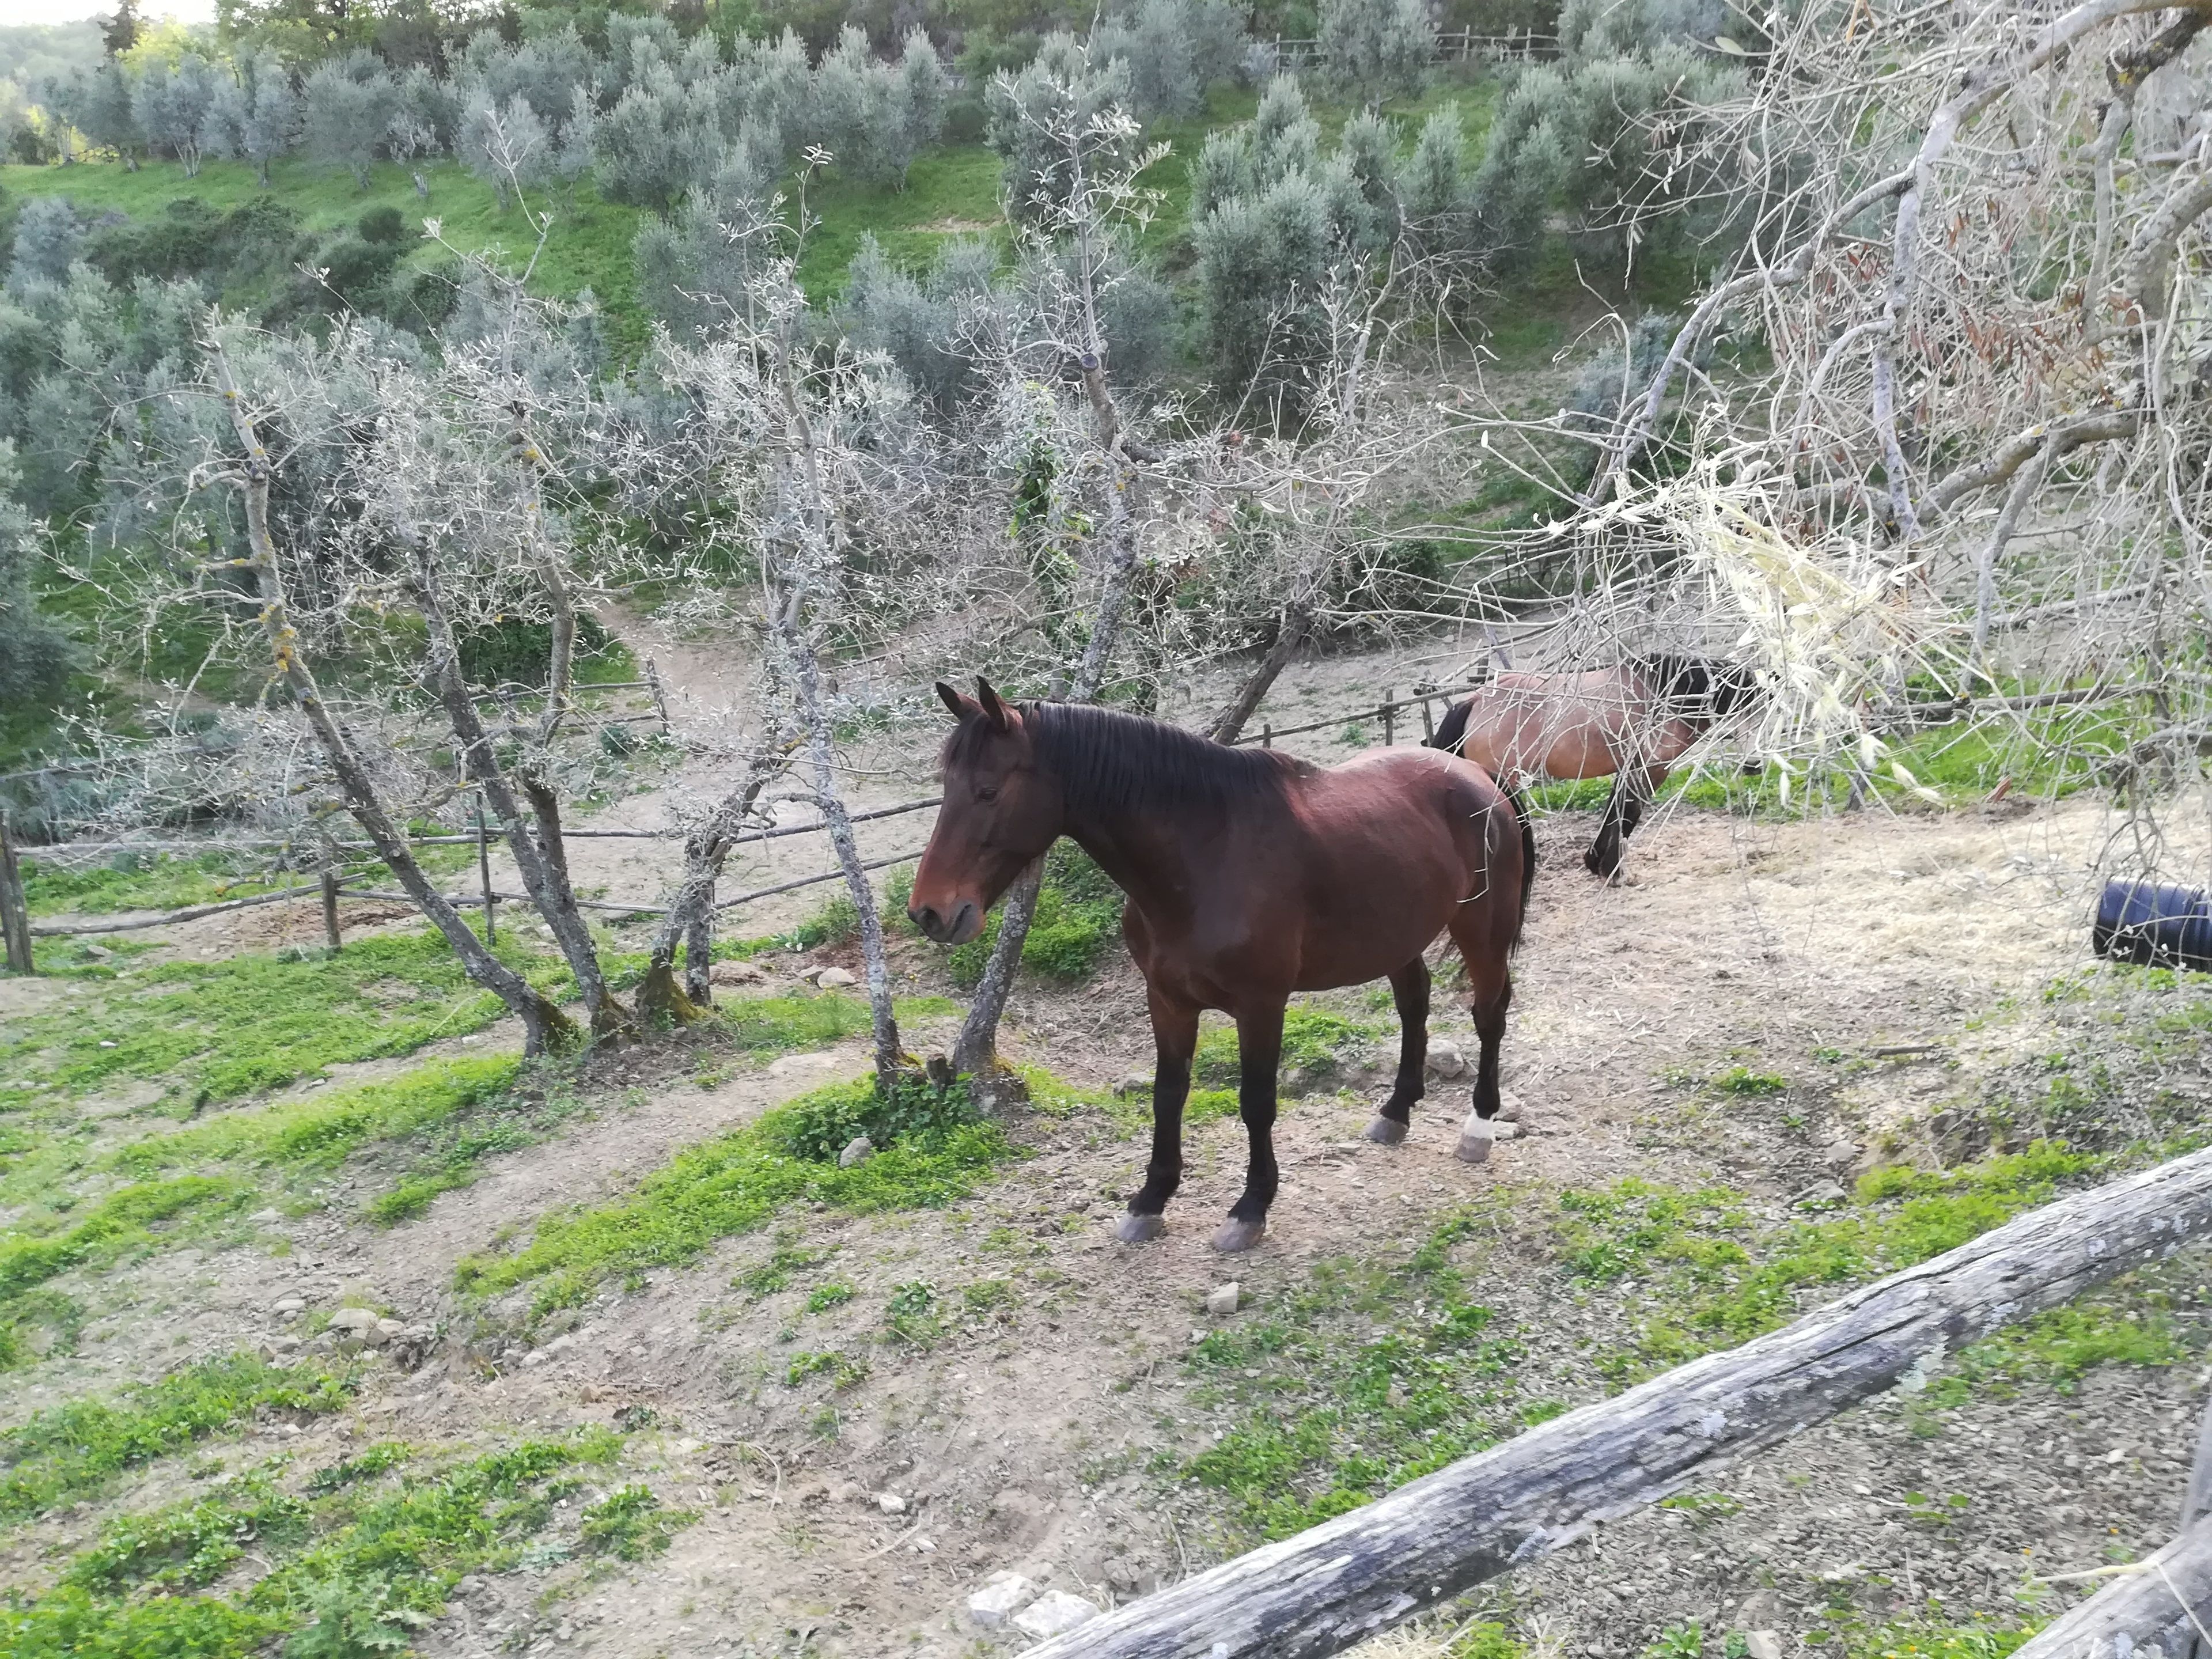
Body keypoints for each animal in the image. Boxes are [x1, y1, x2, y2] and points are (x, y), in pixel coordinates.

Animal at [908, 678, 1536, 1255]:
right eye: (945, 789)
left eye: (988, 791)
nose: (930, 912)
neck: (1205, 856)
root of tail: (1476, 775)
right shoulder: (1167, 1001)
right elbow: (1168, 1094)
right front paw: (1150, 1200)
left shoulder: (1260, 1006)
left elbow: (1255, 1102)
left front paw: (1251, 1207)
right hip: (1397, 937)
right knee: (1414, 1005)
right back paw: (1396, 1113)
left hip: (1481, 932)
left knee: (1489, 1015)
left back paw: (1479, 1127)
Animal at [1426, 654, 1760, 879]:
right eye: (1737, 708)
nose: (1754, 765)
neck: (1664, 695)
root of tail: (1475, 702)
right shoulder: (1651, 768)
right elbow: (1628, 812)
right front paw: (1612, 870)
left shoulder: (1629, 767)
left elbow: (1615, 808)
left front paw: (1596, 862)